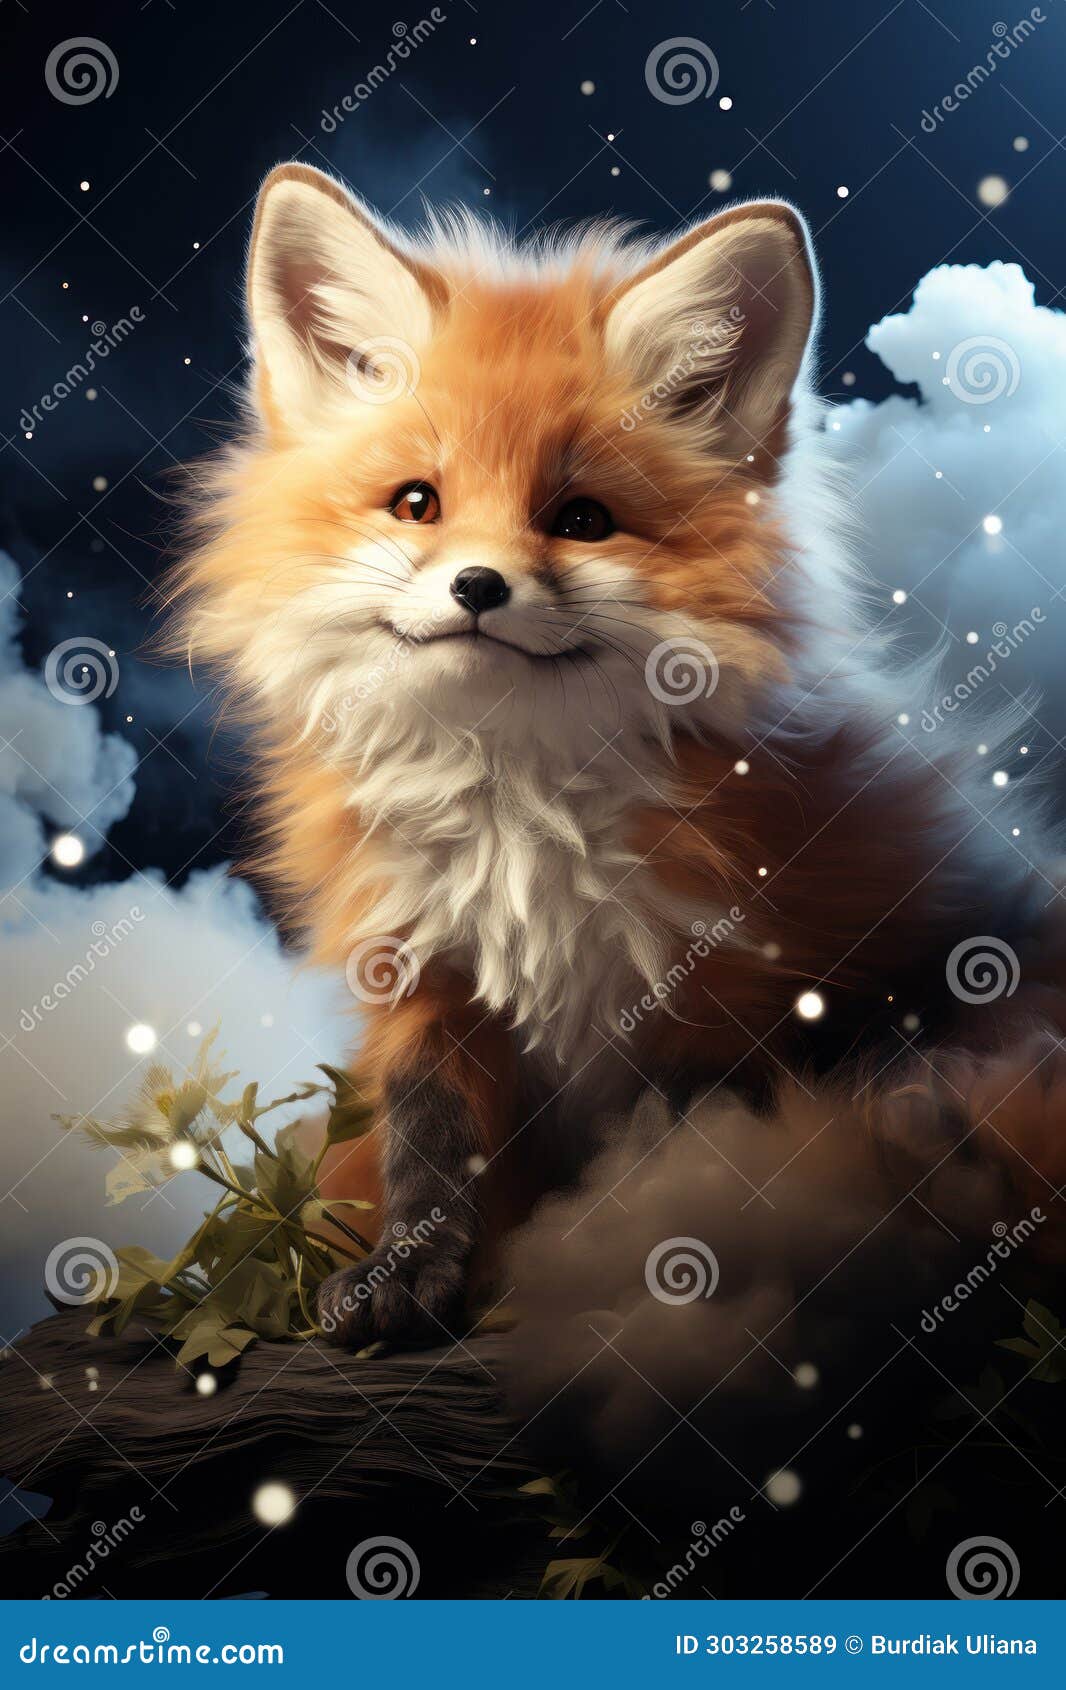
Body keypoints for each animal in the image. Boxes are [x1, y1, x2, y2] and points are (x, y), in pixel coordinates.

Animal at [169, 162, 1066, 1349]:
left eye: (582, 519)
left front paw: (624, 1277)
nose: (478, 585)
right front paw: (409, 1279)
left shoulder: (721, 998)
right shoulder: (422, 976)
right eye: (418, 503)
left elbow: (667, 1161)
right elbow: (429, 1156)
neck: (515, 812)